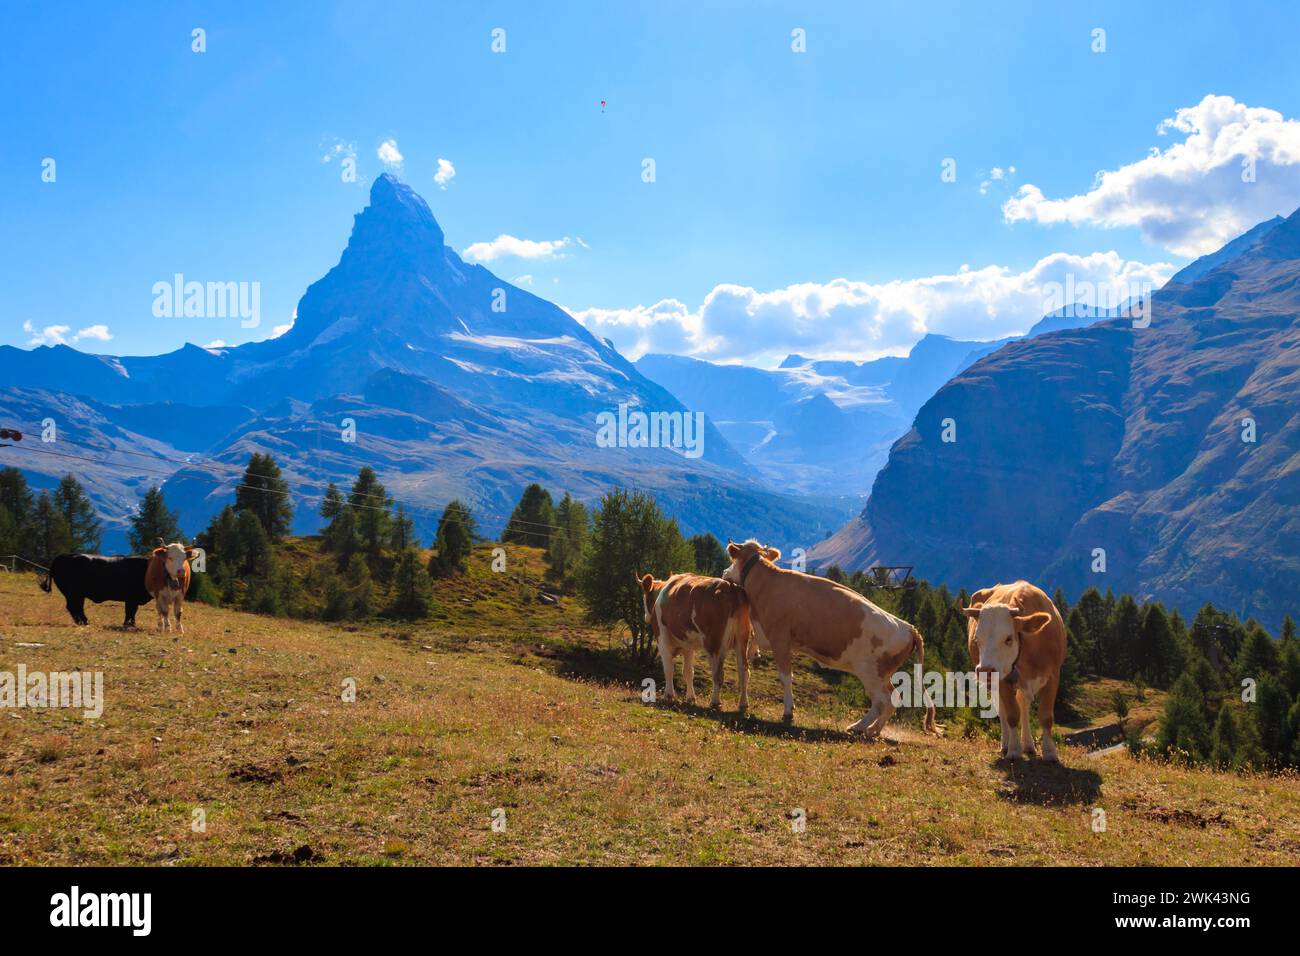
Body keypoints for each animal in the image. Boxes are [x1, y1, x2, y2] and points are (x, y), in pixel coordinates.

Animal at [640, 572, 752, 712]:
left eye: (644, 598)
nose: (645, 617)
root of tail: (730, 586)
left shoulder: (662, 638)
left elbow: (668, 669)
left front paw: (669, 695)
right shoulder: (688, 644)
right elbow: (688, 672)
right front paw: (690, 698)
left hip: (713, 642)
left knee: (718, 674)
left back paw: (715, 702)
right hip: (742, 640)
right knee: (744, 671)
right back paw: (743, 704)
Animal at [722, 540, 936, 737]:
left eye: (733, 559)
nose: (724, 572)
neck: (766, 584)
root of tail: (908, 627)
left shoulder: (780, 638)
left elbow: (785, 677)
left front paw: (788, 712)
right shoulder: (767, 632)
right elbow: (755, 645)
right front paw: (754, 655)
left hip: (872, 672)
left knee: (886, 700)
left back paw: (871, 730)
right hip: (881, 674)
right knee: (882, 701)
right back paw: (859, 727)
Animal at [963, 581, 1067, 762]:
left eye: (1008, 638)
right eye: (977, 639)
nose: (984, 670)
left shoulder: (1053, 676)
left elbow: (1046, 717)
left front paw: (1050, 752)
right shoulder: (1002, 677)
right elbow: (1011, 715)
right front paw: (1013, 750)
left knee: (1024, 705)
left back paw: (1028, 745)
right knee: (1003, 710)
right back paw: (1006, 745)